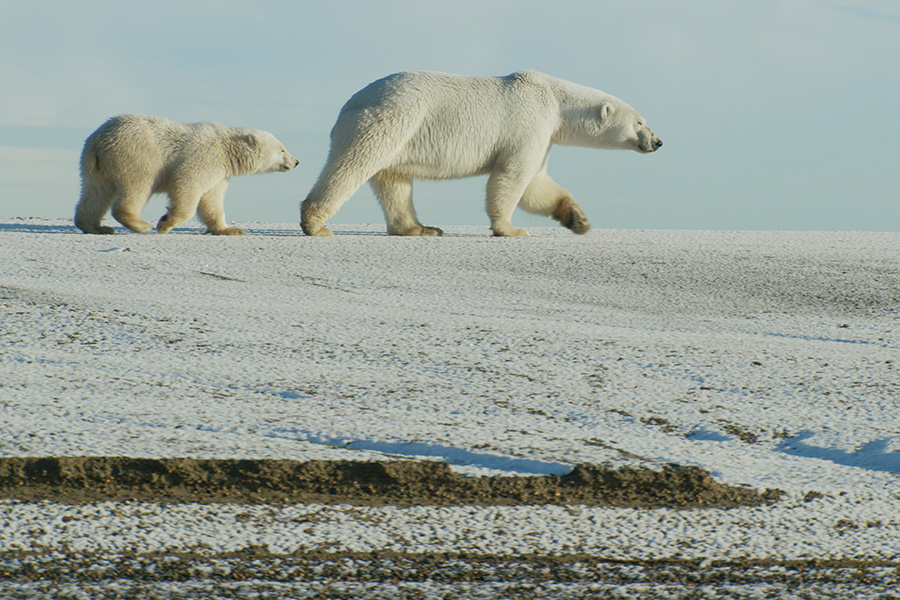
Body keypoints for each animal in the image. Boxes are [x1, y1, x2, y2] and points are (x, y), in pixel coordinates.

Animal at [75, 114, 299, 235]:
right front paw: (165, 223)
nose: (296, 162)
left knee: (95, 192)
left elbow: (212, 200)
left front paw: (230, 229)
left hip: (93, 164)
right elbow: (187, 185)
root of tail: (99, 139)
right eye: (282, 149)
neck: (226, 149)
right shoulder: (204, 157)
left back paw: (95, 226)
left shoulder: (220, 172)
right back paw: (140, 224)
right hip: (137, 155)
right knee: (137, 186)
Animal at [301, 70, 661, 238]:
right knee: (352, 166)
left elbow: (537, 183)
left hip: (400, 135)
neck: (555, 99)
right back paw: (316, 223)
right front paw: (512, 230)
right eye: (640, 121)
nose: (657, 141)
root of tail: (348, 104)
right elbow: (513, 177)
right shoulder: (529, 122)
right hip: (388, 120)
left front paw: (578, 219)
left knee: (395, 181)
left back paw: (420, 228)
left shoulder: (544, 135)